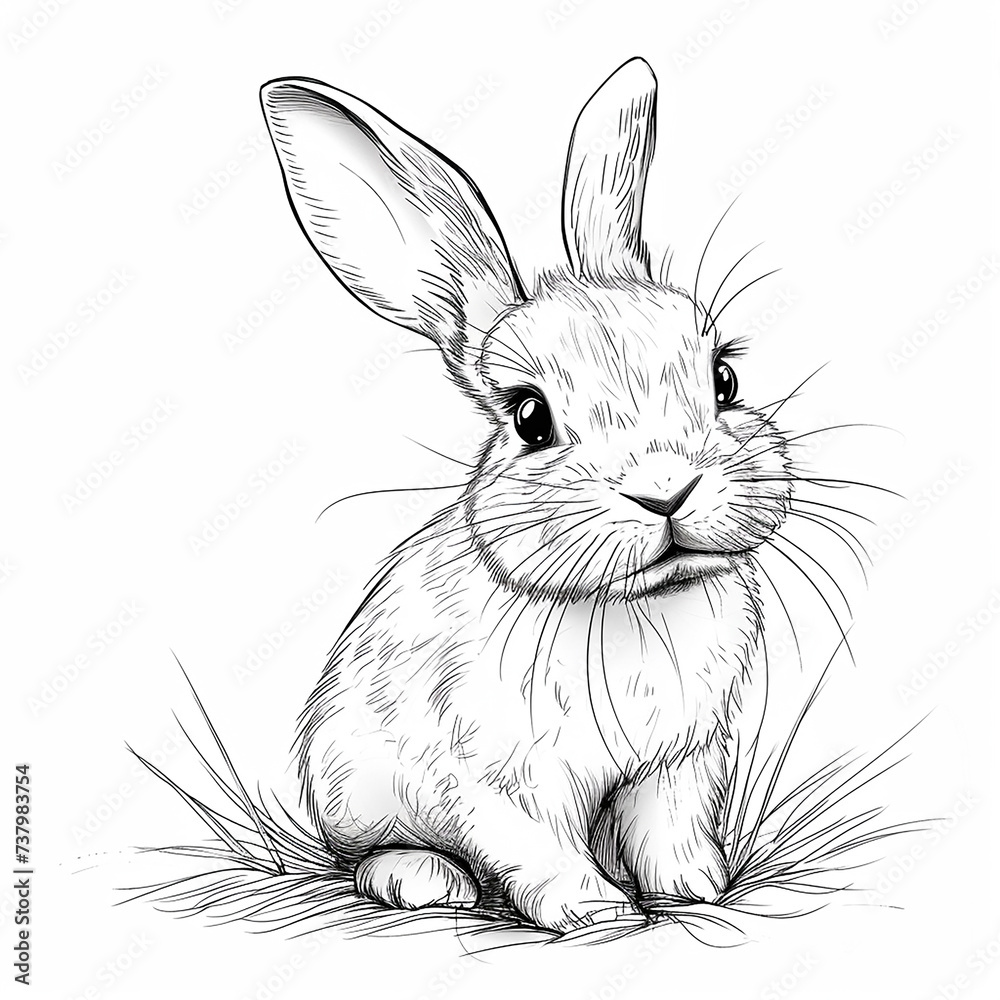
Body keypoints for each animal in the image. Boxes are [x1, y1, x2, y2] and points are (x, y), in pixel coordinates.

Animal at [260, 57, 793, 933]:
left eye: (724, 379)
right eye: (529, 417)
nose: (666, 490)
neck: (629, 604)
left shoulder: (677, 764)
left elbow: (669, 833)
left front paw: (695, 892)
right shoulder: (495, 776)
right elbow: (536, 845)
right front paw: (596, 914)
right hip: (355, 789)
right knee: (367, 853)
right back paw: (422, 880)